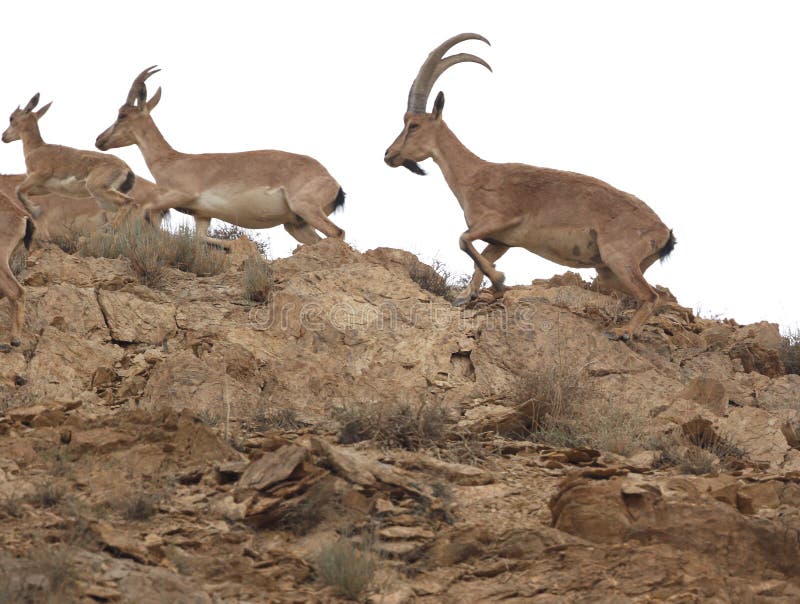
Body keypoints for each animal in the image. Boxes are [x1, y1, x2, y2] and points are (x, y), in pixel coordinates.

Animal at [96, 67, 345, 248]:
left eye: (122, 114)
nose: (99, 140)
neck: (175, 161)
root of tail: (333, 183)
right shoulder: (202, 216)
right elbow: (200, 238)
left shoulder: (180, 195)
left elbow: (146, 210)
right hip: (295, 224)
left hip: (306, 209)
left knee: (338, 233)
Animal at [384, 33, 676, 341]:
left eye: (413, 125)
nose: (389, 155)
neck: (473, 175)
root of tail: (664, 232)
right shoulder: (501, 240)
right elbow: (478, 258)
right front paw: (467, 295)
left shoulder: (502, 217)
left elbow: (463, 240)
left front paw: (499, 281)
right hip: (609, 270)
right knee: (655, 295)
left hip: (619, 257)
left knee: (651, 296)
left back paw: (623, 332)